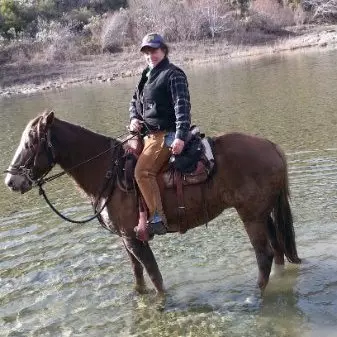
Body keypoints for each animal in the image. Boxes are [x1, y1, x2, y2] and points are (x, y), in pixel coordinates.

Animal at [3, 111, 300, 294]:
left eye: (30, 143)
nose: (11, 181)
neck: (107, 171)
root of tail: (272, 146)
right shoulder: (125, 238)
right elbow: (137, 272)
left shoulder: (135, 237)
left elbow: (154, 275)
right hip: (263, 213)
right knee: (278, 249)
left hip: (250, 216)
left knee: (264, 255)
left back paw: (255, 295)